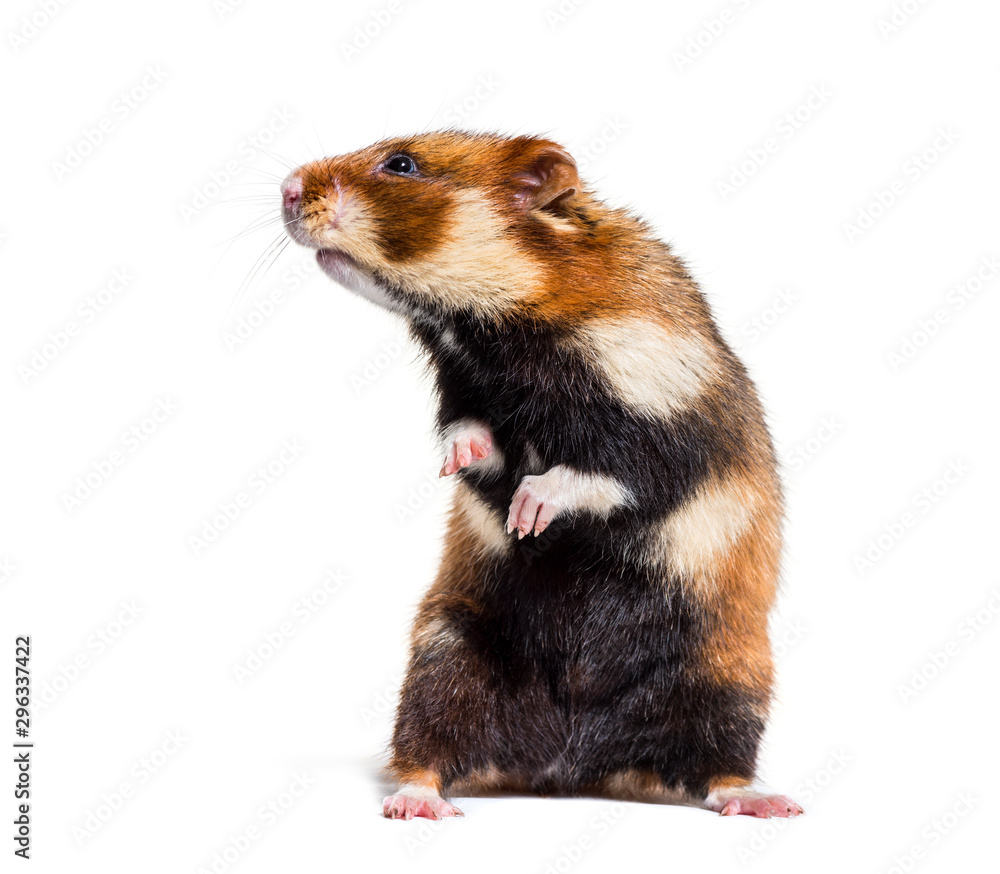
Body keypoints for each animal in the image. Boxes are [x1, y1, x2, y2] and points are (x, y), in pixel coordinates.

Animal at [280, 131, 803, 820]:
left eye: (402, 164)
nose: (285, 188)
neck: (485, 334)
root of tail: (565, 768)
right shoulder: (466, 388)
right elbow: (473, 437)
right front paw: (459, 462)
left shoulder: (670, 414)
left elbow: (608, 469)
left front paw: (529, 511)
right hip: (446, 652)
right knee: (429, 748)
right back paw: (417, 802)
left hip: (724, 674)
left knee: (714, 767)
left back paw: (766, 802)